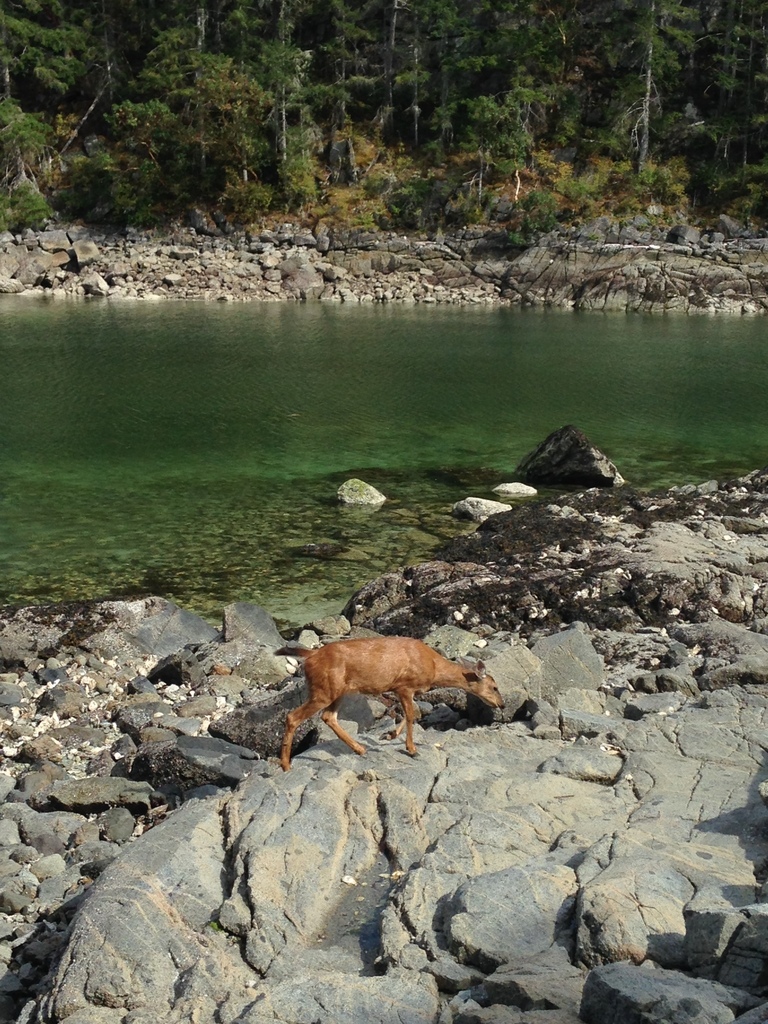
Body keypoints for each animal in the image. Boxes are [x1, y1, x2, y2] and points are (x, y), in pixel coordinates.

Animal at [277, 636, 504, 771]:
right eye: (494, 686)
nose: (501, 705)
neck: (433, 667)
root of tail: (311, 655)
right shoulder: (404, 685)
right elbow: (412, 715)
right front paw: (411, 749)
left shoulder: (403, 689)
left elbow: (414, 714)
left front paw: (390, 734)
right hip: (324, 690)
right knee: (292, 716)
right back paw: (286, 765)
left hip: (337, 691)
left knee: (328, 717)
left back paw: (360, 749)